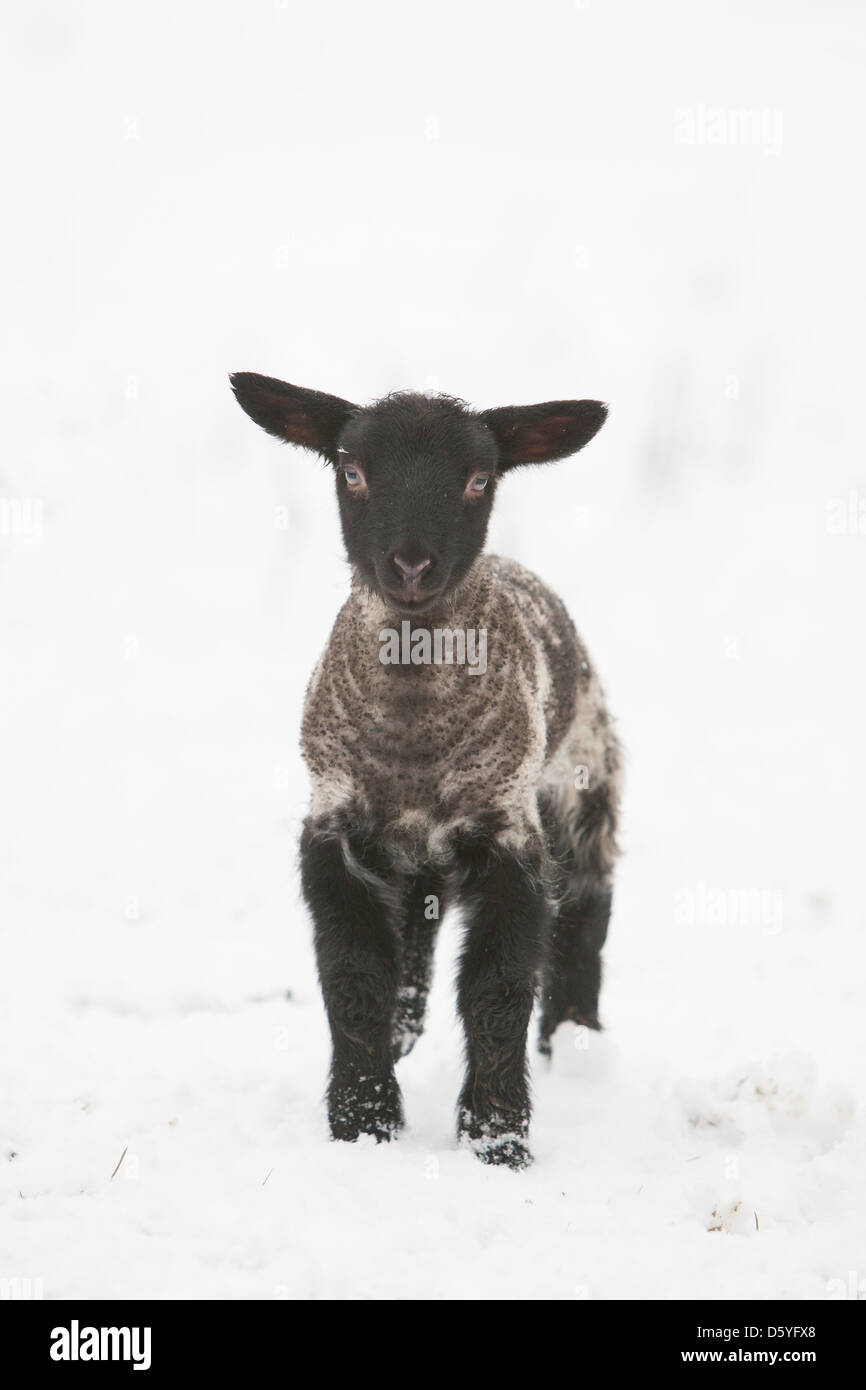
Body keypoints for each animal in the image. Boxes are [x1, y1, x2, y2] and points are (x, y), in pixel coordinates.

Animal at [230, 373, 621, 1169]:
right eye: (351, 471)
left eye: (479, 479)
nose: (411, 566)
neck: (414, 743)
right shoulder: (337, 832)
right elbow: (353, 980)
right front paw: (362, 1122)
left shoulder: (511, 837)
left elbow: (498, 991)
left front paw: (498, 1140)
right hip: (416, 860)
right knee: (411, 949)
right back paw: (405, 1035)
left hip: (584, 772)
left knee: (585, 910)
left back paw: (575, 1046)